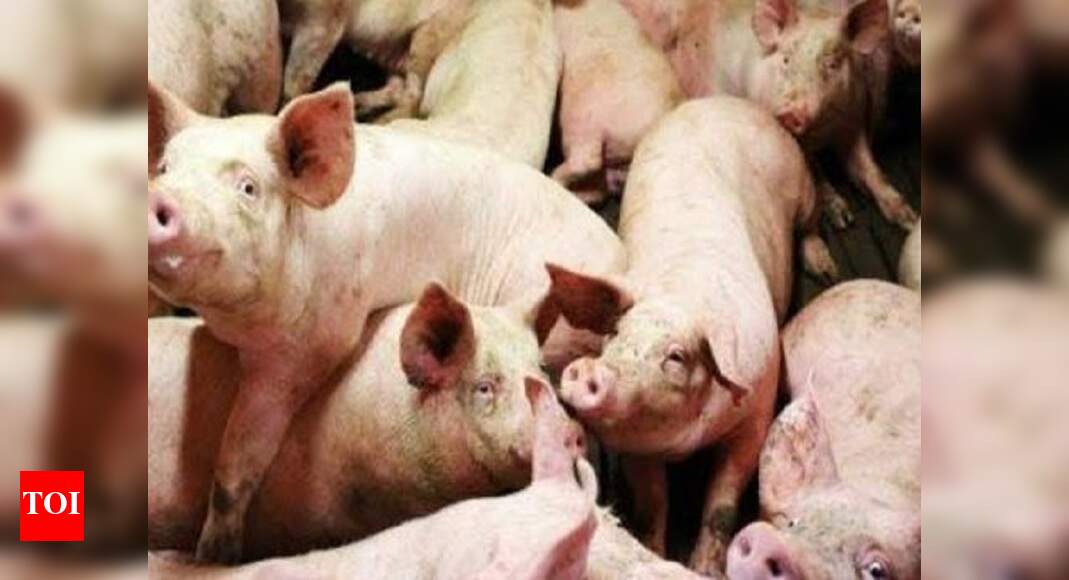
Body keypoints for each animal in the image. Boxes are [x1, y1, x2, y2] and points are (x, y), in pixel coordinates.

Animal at [546, 97, 837, 575]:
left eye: (676, 356)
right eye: (616, 333)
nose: (589, 371)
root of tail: (718, 100)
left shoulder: (756, 413)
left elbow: (722, 506)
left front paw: (704, 568)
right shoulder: (638, 448)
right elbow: (652, 505)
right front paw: (656, 550)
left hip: (800, 180)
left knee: (810, 222)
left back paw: (823, 265)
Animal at [621, 0, 918, 230]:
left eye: (832, 64)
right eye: (786, 59)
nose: (791, 113)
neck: (821, 132)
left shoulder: (853, 121)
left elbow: (870, 170)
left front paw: (908, 219)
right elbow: (814, 172)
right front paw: (842, 218)